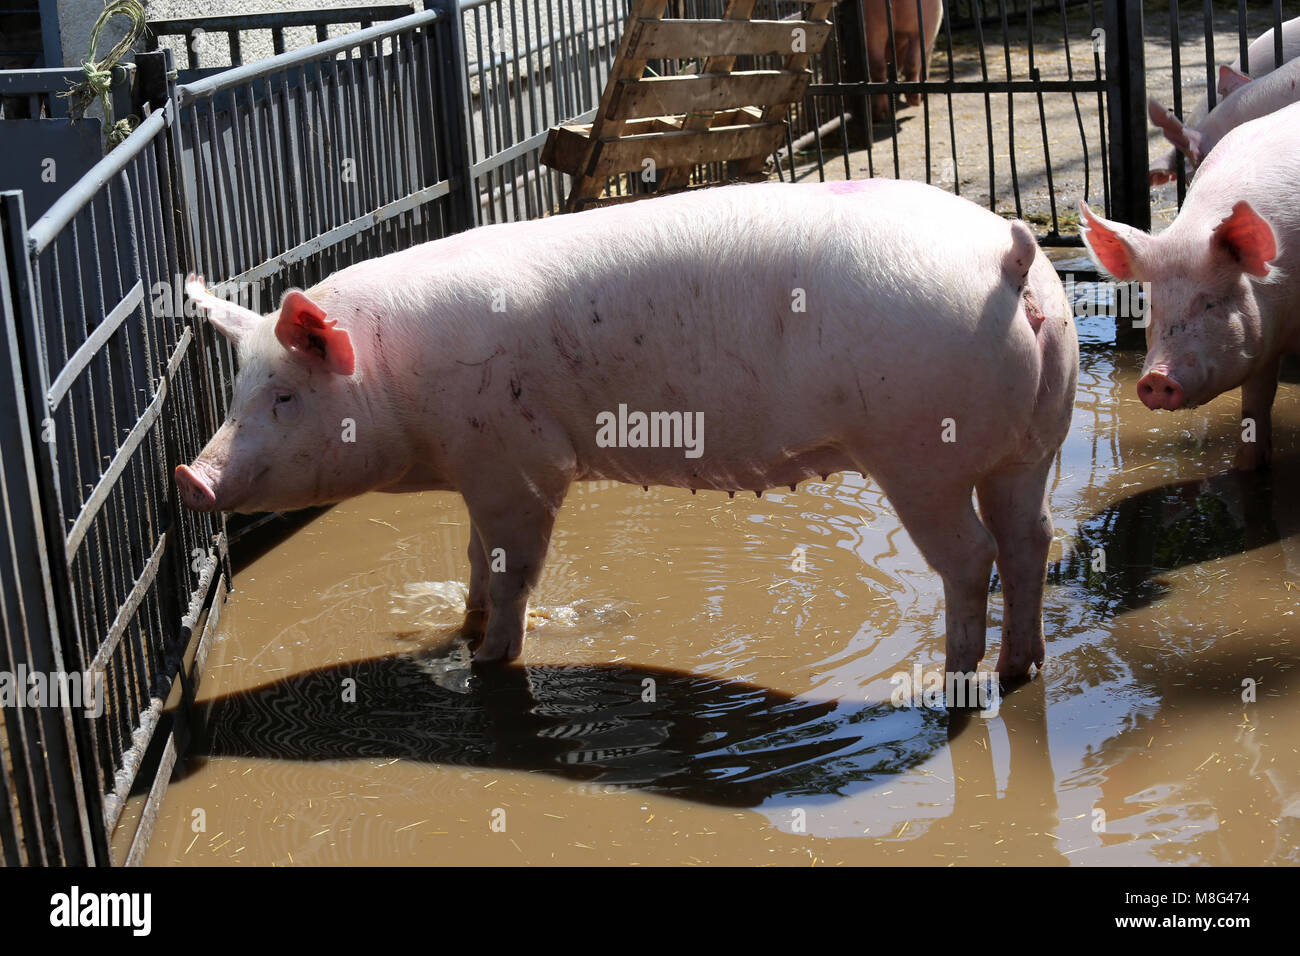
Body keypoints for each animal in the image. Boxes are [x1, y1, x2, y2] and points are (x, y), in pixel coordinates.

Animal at [176, 179, 1078, 680]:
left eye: (284, 397)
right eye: (238, 393)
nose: (189, 476)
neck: (397, 375)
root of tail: (1009, 256)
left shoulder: (519, 461)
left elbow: (513, 565)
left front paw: (487, 659)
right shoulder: (479, 466)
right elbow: (473, 556)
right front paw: (455, 630)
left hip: (919, 453)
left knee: (971, 557)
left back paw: (948, 682)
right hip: (1037, 438)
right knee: (1030, 535)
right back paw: (1019, 667)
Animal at [1083, 101, 1300, 471]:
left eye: (1211, 303)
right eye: (1151, 305)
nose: (1157, 378)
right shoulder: (1265, 345)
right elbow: (1254, 407)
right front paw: (1244, 467)